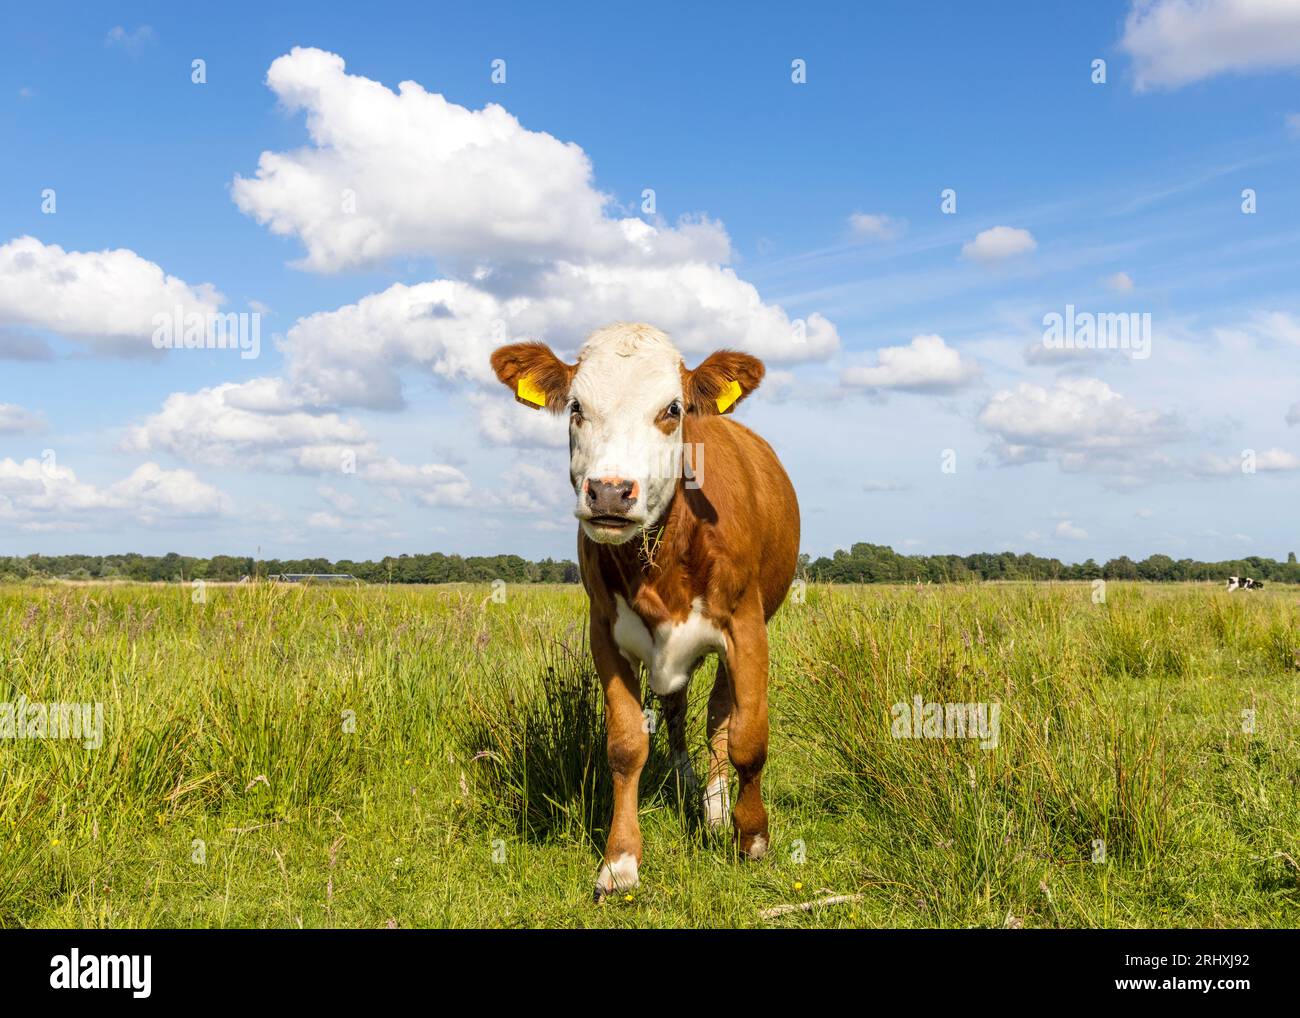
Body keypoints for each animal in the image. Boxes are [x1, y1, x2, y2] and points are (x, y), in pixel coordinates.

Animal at [490, 322, 800, 901]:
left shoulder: (746, 628)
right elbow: (626, 744)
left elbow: (748, 738)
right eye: (575, 407)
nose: (610, 490)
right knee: (677, 709)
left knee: (719, 715)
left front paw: (752, 838)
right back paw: (685, 779)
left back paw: (715, 808)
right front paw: (619, 862)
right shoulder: (604, 633)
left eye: (672, 409)